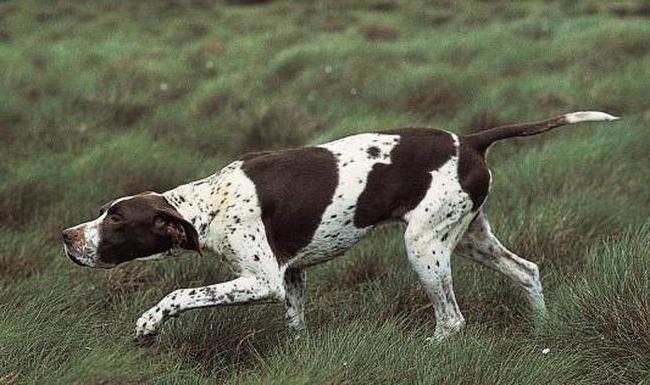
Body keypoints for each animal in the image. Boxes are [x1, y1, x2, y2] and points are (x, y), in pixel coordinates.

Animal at [62, 110, 616, 340]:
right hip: (467, 237)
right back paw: (544, 329)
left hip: (424, 246)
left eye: (115, 219)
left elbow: (179, 296)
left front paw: (148, 325)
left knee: (452, 320)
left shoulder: (261, 280)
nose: (67, 237)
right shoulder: (291, 278)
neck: (207, 204)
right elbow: (296, 327)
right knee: (528, 271)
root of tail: (472, 140)